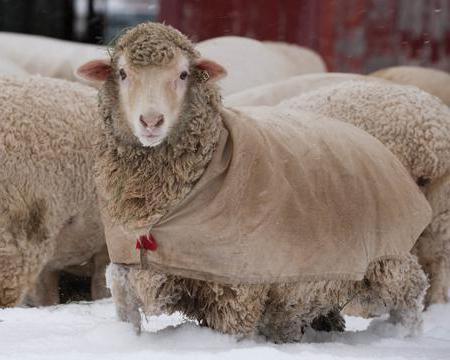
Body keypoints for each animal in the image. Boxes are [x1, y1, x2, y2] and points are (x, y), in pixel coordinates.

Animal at [78, 22, 432, 344]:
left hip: (388, 257)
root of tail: (375, 143)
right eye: (122, 74)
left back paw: (404, 335)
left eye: (183, 75)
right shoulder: (127, 267)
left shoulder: (237, 287)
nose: (151, 121)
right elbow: (126, 308)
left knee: (412, 293)